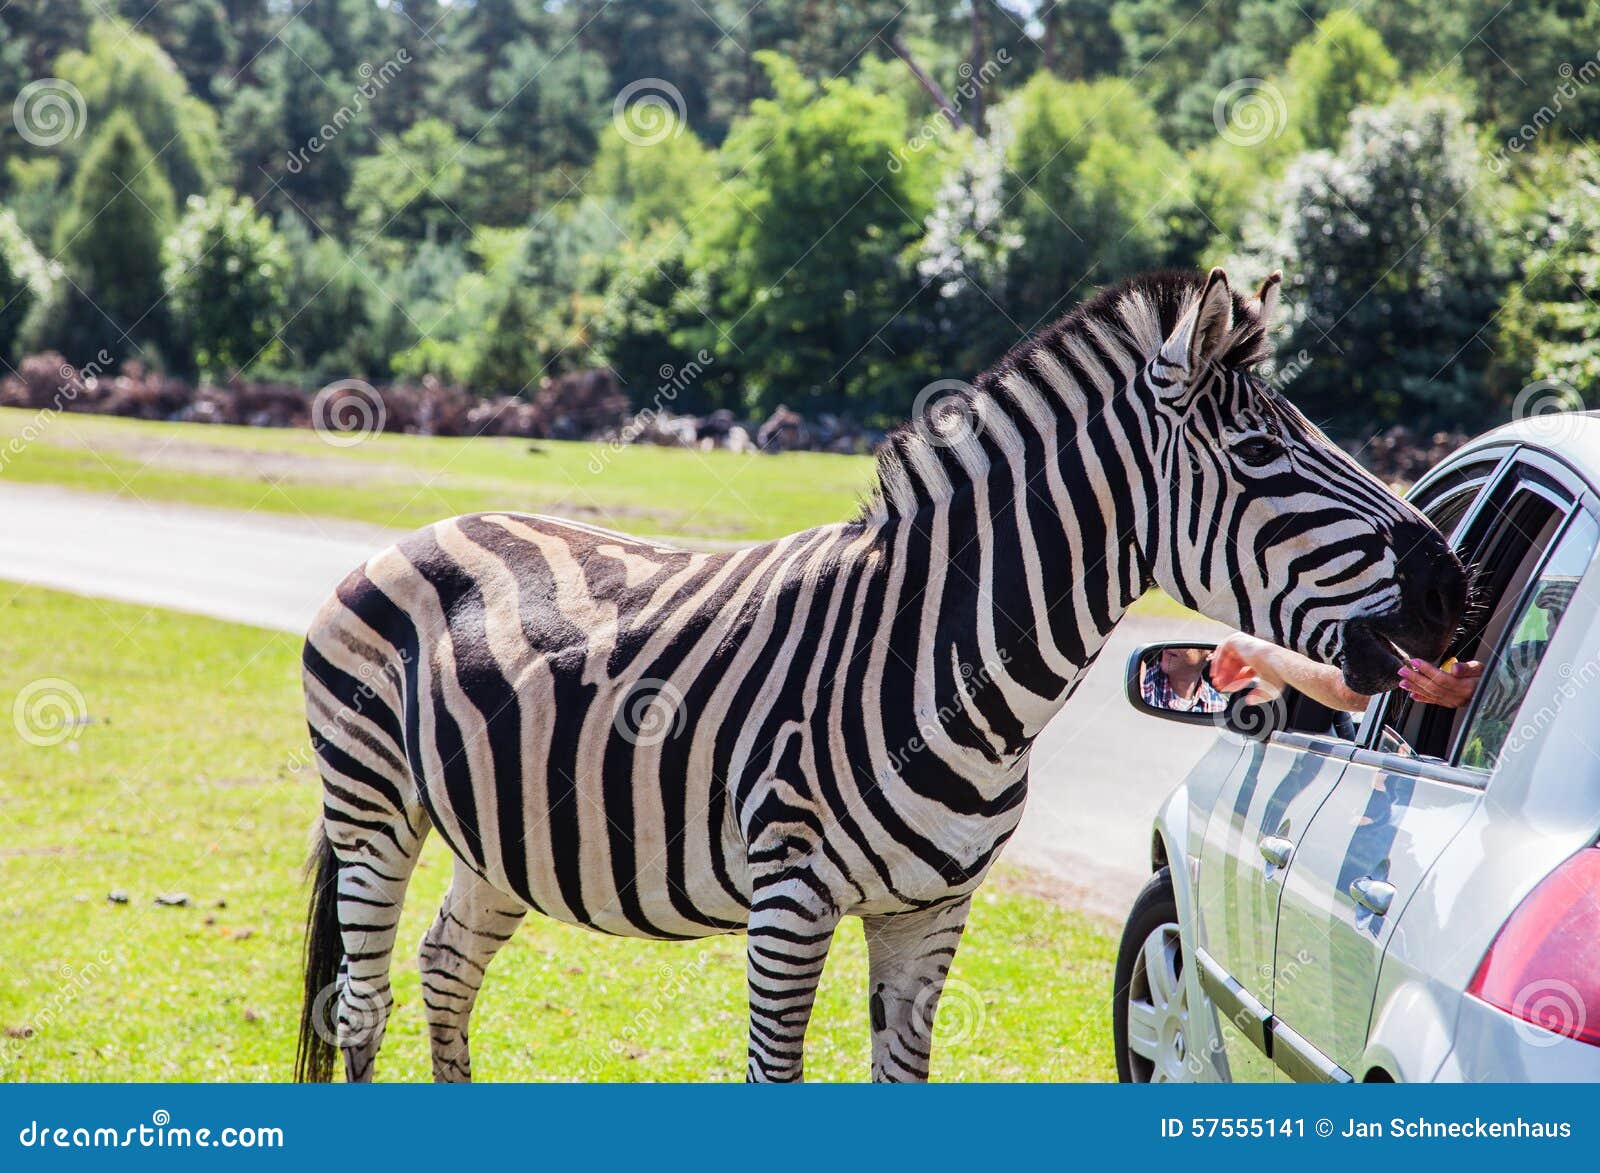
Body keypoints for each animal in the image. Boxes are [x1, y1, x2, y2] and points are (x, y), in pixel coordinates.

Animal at [294, 267, 1466, 1083]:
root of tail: (419, 532)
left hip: (501, 836)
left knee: (445, 968)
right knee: (362, 1001)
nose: (1451, 581)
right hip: (373, 806)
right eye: (1262, 456)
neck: (948, 670)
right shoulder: (791, 896)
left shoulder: (932, 909)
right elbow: (776, 1073)